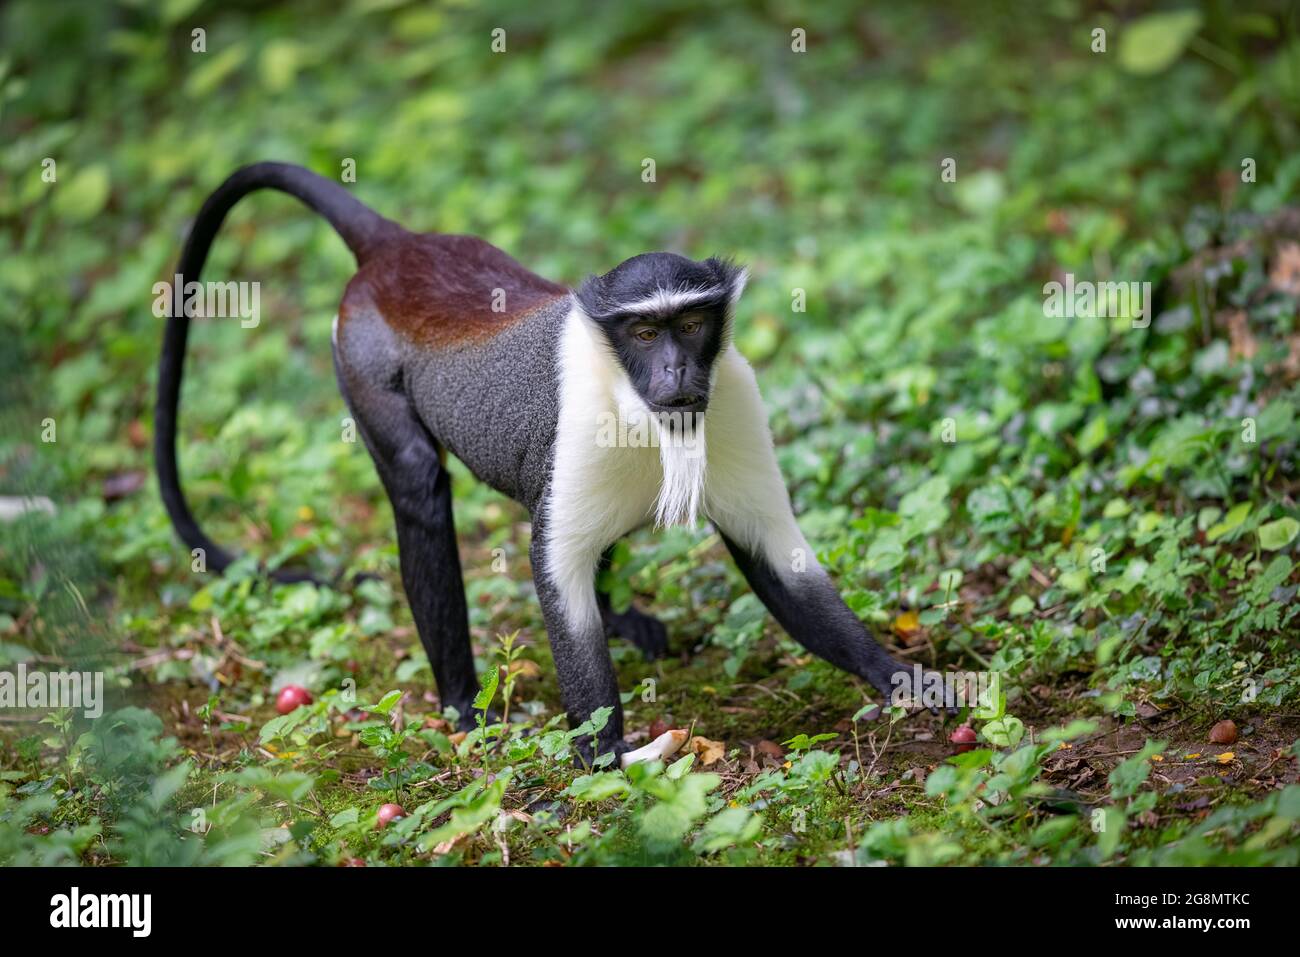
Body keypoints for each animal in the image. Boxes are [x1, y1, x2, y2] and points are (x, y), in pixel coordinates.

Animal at [156, 162, 914, 766]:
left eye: (693, 325)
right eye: (646, 332)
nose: (676, 372)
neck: (636, 402)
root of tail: (396, 246)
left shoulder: (734, 399)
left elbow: (774, 554)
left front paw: (896, 675)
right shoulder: (578, 432)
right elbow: (557, 568)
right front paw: (604, 752)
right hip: (362, 364)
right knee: (418, 486)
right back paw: (463, 708)